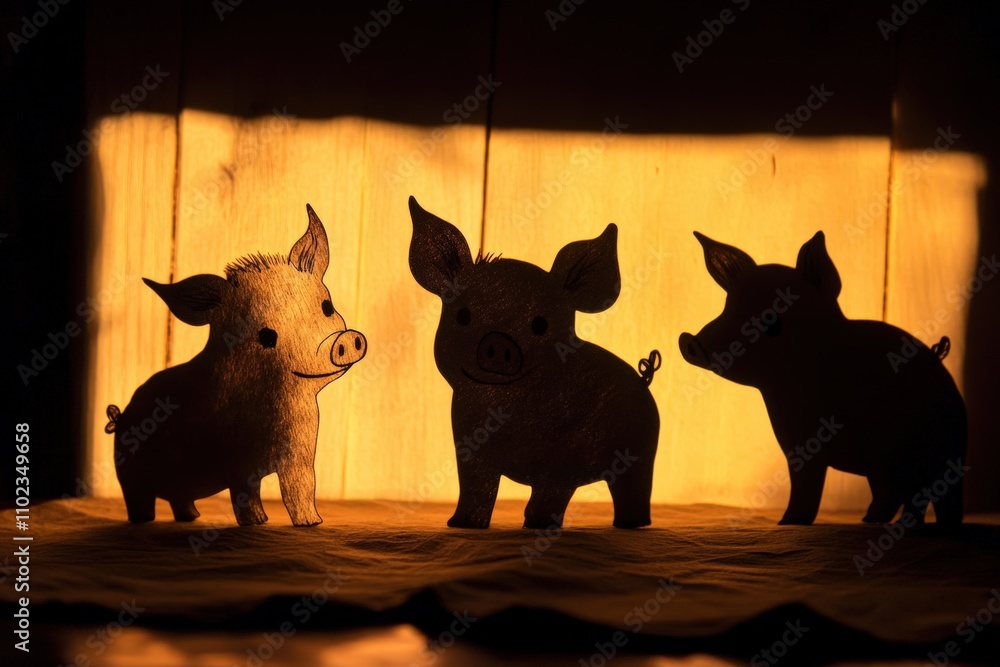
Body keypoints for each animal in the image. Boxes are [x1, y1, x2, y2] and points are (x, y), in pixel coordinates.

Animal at [105, 205, 366, 526]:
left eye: (327, 307)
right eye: (266, 336)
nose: (343, 342)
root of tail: (120, 416)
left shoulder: (301, 456)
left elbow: (302, 488)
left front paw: (311, 522)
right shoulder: (238, 466)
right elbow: (246, 495)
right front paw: (258, 522)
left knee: (180, 500)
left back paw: (191, 518)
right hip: (130, 477)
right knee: (139, 500)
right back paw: (144, 521)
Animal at [407, 197, 660, 529]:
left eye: (540, 324)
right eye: (463, 315)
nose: (498, 342)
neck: (505, 408)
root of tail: (645, 379)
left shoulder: (565, 461)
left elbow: (551, 494)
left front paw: (537, 525)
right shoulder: (470, 451)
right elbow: (476, 491)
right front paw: (461, 524)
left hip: (641, 453)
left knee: (633, 488)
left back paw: (632, 524)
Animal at [679, 231, 967, 525]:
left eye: (771, 322)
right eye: (727, 308)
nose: (688, 341)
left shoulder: (810, 450)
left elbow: (806, 488)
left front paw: (788, 522)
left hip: (944, 451)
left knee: (941, 493)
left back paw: (942, 526)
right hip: (888, 464)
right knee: (902, 494)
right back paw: (874, 520)